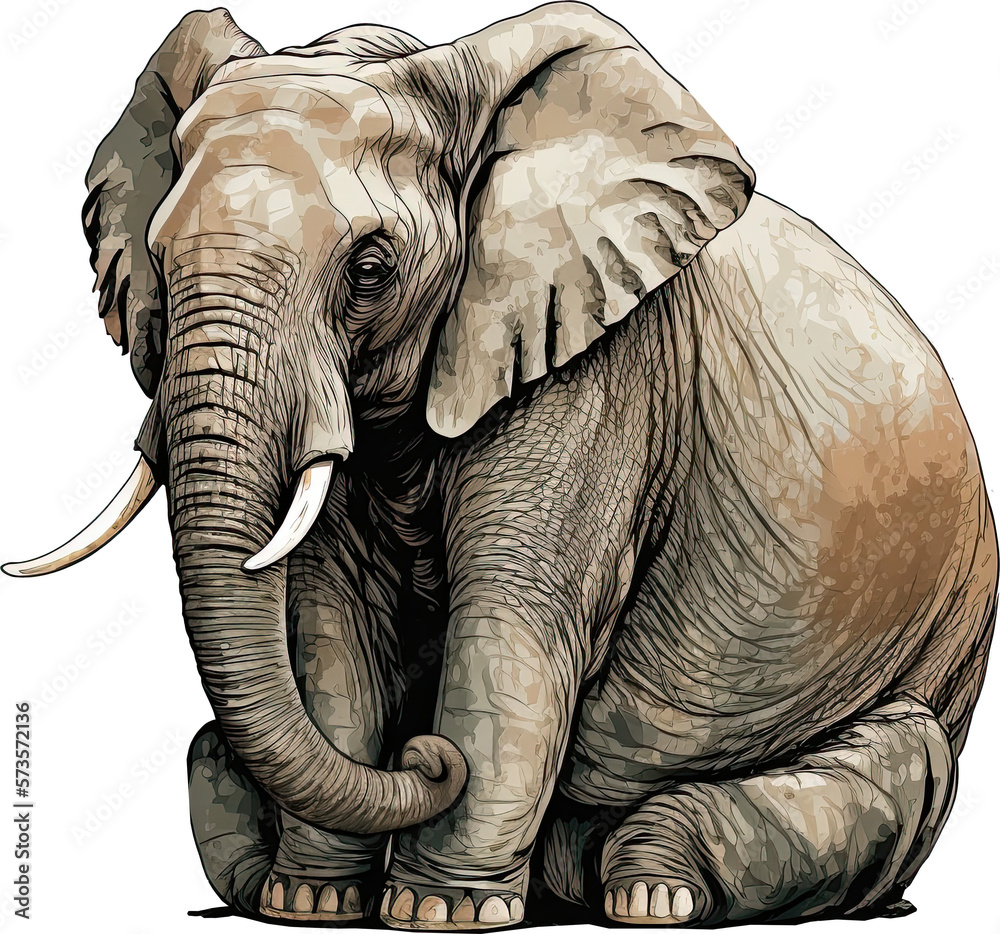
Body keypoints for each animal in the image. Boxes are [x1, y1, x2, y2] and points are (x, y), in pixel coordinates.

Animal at [4, 2, 997, 928]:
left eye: (371, 270)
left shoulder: (599, 362)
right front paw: (311, 904)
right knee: (208, 749)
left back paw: (649, 891)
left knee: (897, 760)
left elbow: (510, 613)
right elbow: (332, 620)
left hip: (932, 659)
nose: (426, 756)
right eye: (158, 261)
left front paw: (435, 912)